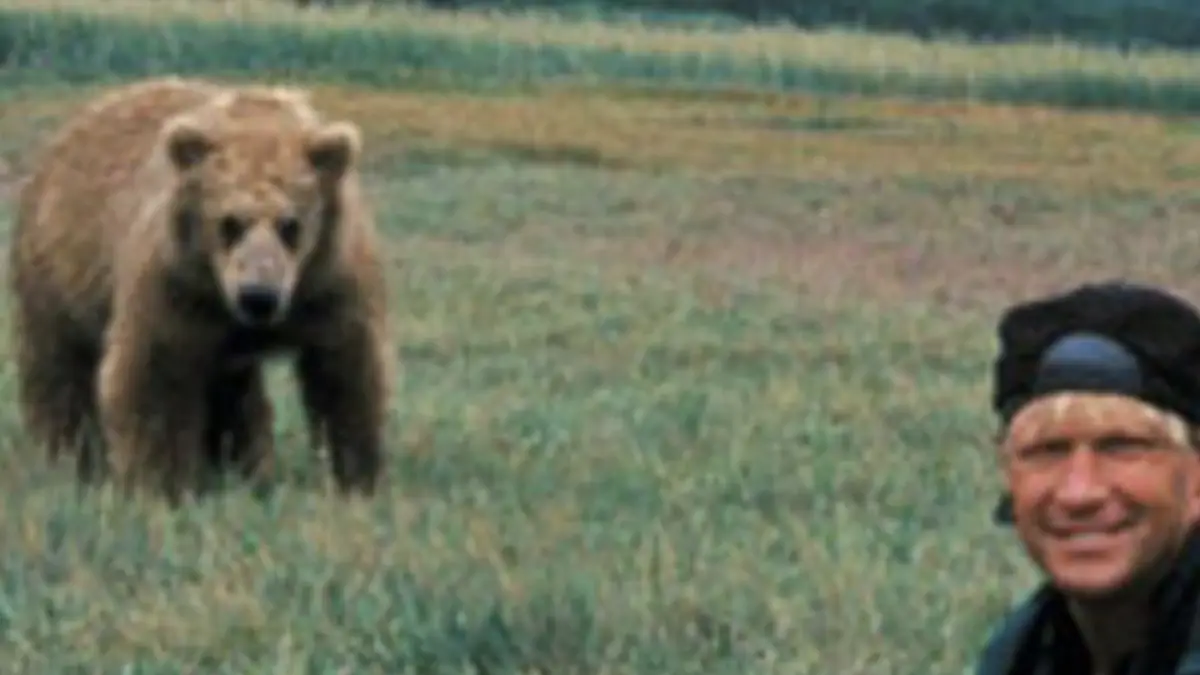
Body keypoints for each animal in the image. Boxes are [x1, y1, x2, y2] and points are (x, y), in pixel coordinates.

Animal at [9, 76, 394, 503]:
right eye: (230, 222)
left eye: (290, 225)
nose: (258, 296)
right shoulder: (177, 285)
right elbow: (155, 374)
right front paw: (159, 484)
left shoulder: (331, 284)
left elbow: (346, 373)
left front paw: (355, 478)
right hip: (59, 277)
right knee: (59, 371)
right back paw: (70, 456)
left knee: (233, 396)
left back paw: (240, 467)